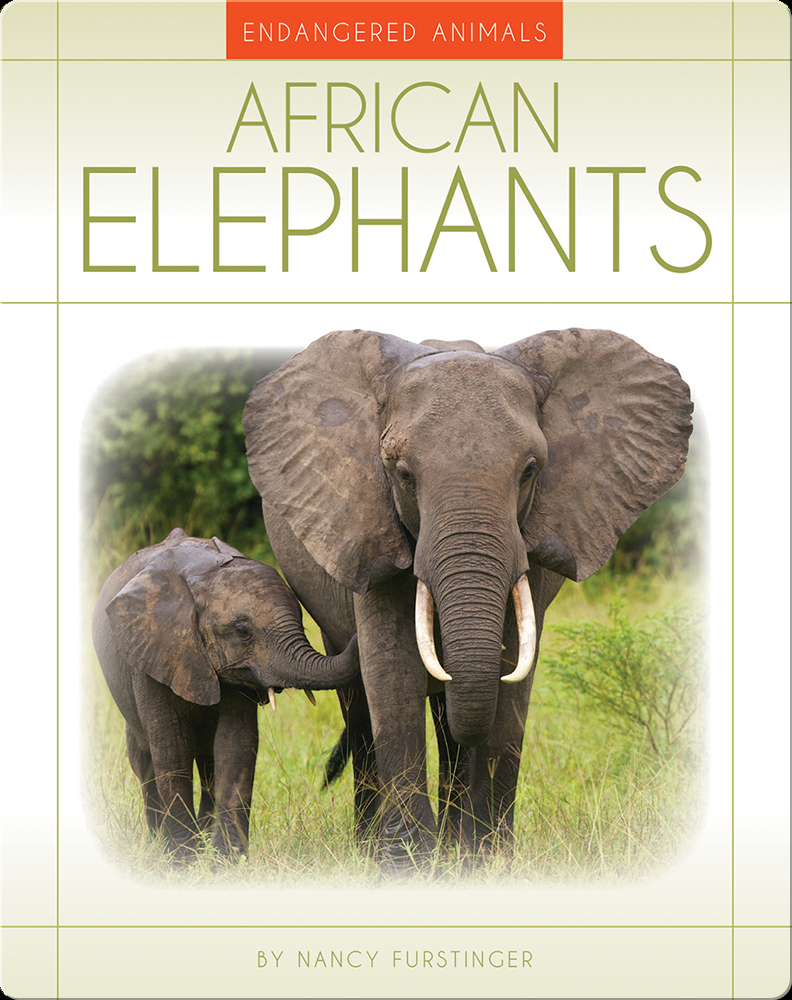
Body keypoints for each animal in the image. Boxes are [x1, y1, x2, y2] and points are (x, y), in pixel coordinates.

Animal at [92, 527, 359, 860]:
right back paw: (159, 842)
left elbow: (236, 743)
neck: (203, 576)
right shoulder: (153, 652)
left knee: (208, 764)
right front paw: (183, 860)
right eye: (243, 631)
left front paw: (226, 861)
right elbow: (171, 746)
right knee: (144, 758)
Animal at [242, 327, 693, 871]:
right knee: (363, 706)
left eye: (530, 471)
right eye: (402, 474)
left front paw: (485, 863)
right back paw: (375, 845)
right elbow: (391, 671)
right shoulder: (367, 522)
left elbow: (512, 675)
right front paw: (405, 868)